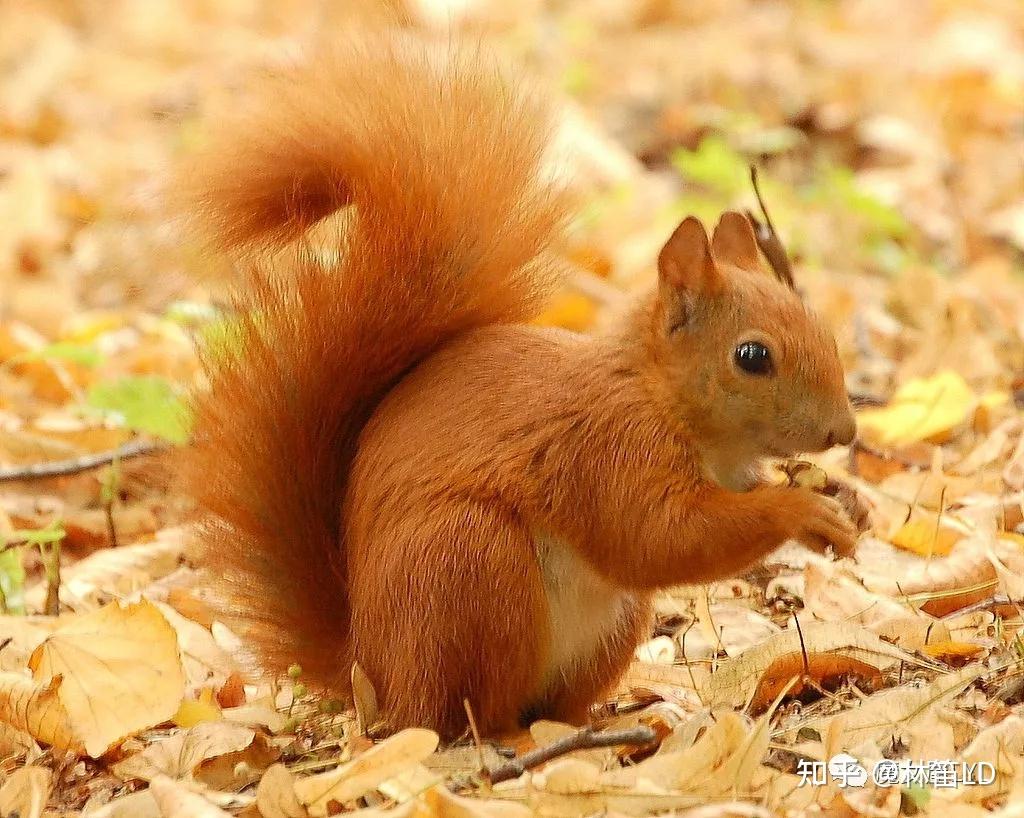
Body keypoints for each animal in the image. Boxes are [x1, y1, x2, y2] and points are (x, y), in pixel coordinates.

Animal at [178, 33, 859, 739]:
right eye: (751, 356)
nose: (845, 431)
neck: (661, 397)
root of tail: (373, 677)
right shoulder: (609, 450)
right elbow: (659, 537)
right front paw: (797, 509)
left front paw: (842, 506)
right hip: (472, 570)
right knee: (464, 710)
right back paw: (510, 734)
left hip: (604, 624)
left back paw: (610, 717)